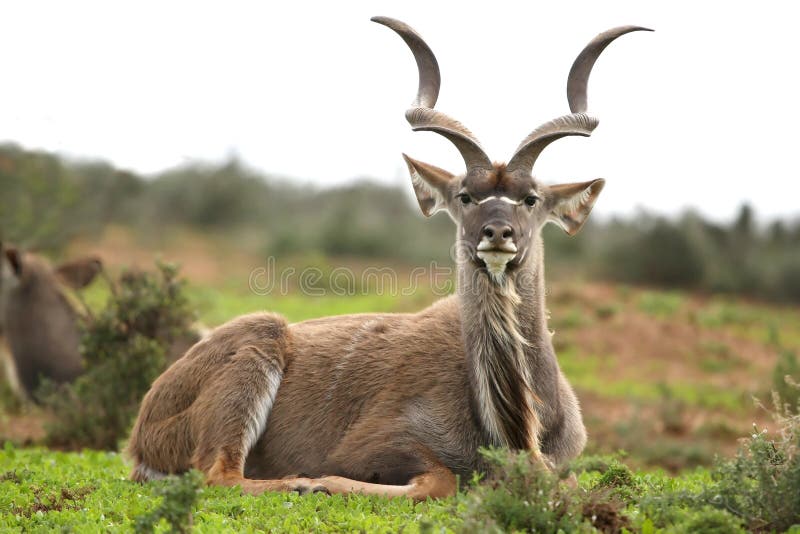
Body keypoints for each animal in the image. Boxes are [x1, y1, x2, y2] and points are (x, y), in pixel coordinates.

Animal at [128, 17, 650, 500]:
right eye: (465, 195)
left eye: (531, 199)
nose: (497, 234)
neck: (514, 431)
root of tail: (139, 436)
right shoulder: (376, 445)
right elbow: (437, 481)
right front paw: (320, 481)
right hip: (260, 339)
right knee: (219, 474)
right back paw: (300, 482)